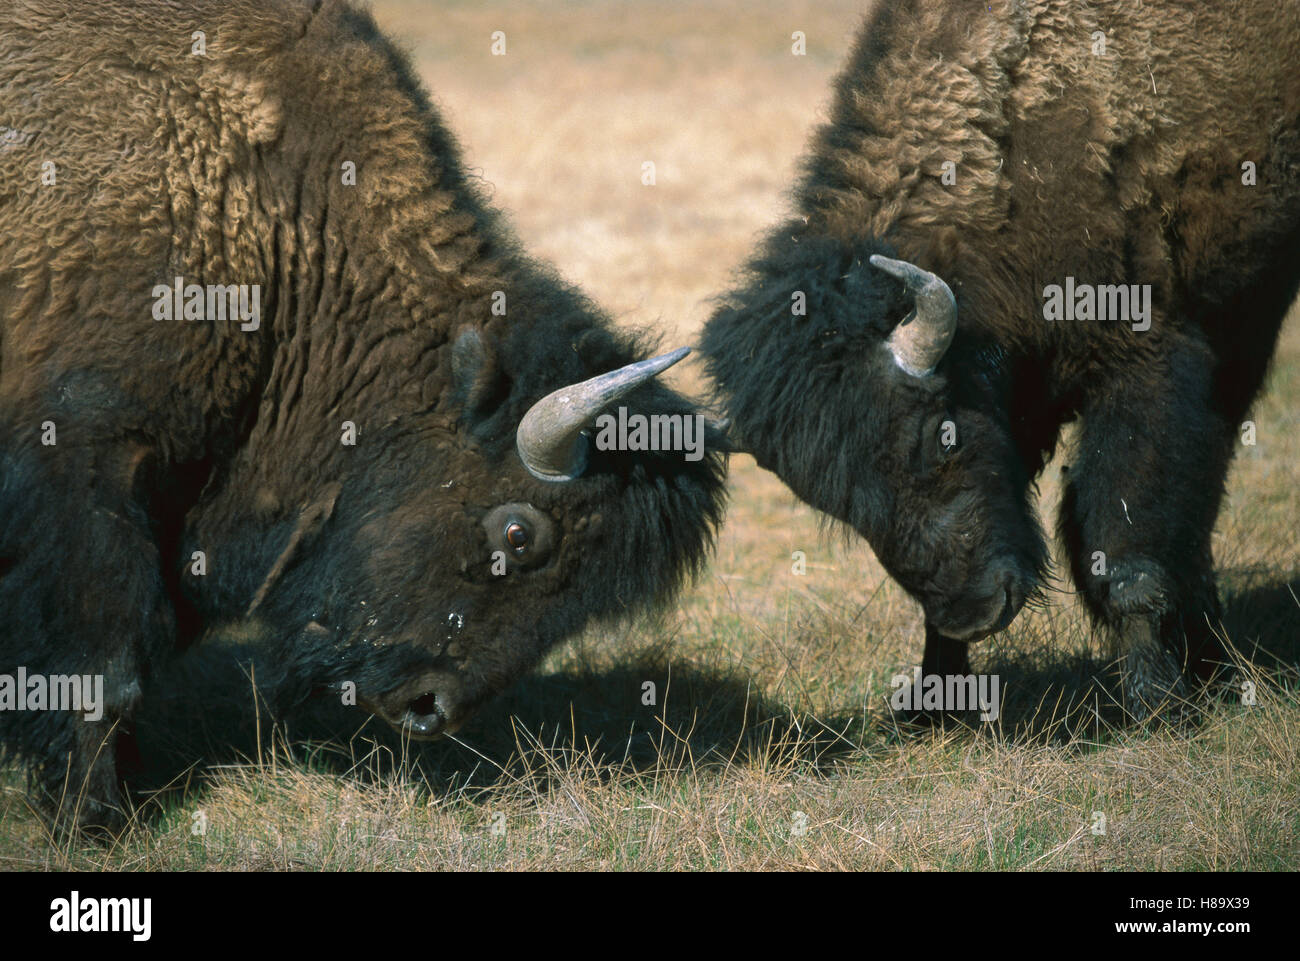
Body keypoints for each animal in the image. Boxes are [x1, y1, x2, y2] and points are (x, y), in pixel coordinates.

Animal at [0, 0, 726, 835]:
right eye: (519, 534)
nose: (428, 707)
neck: (276, 230)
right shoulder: (91, 467)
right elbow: (105, 666)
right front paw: (90, 821)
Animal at [701, 0, 1300, 720]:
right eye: (836, 498)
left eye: (935, 436)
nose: (975, 613)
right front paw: (935, 702)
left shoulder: (1147, 367)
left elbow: (1123, 549)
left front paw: (1156, 701)